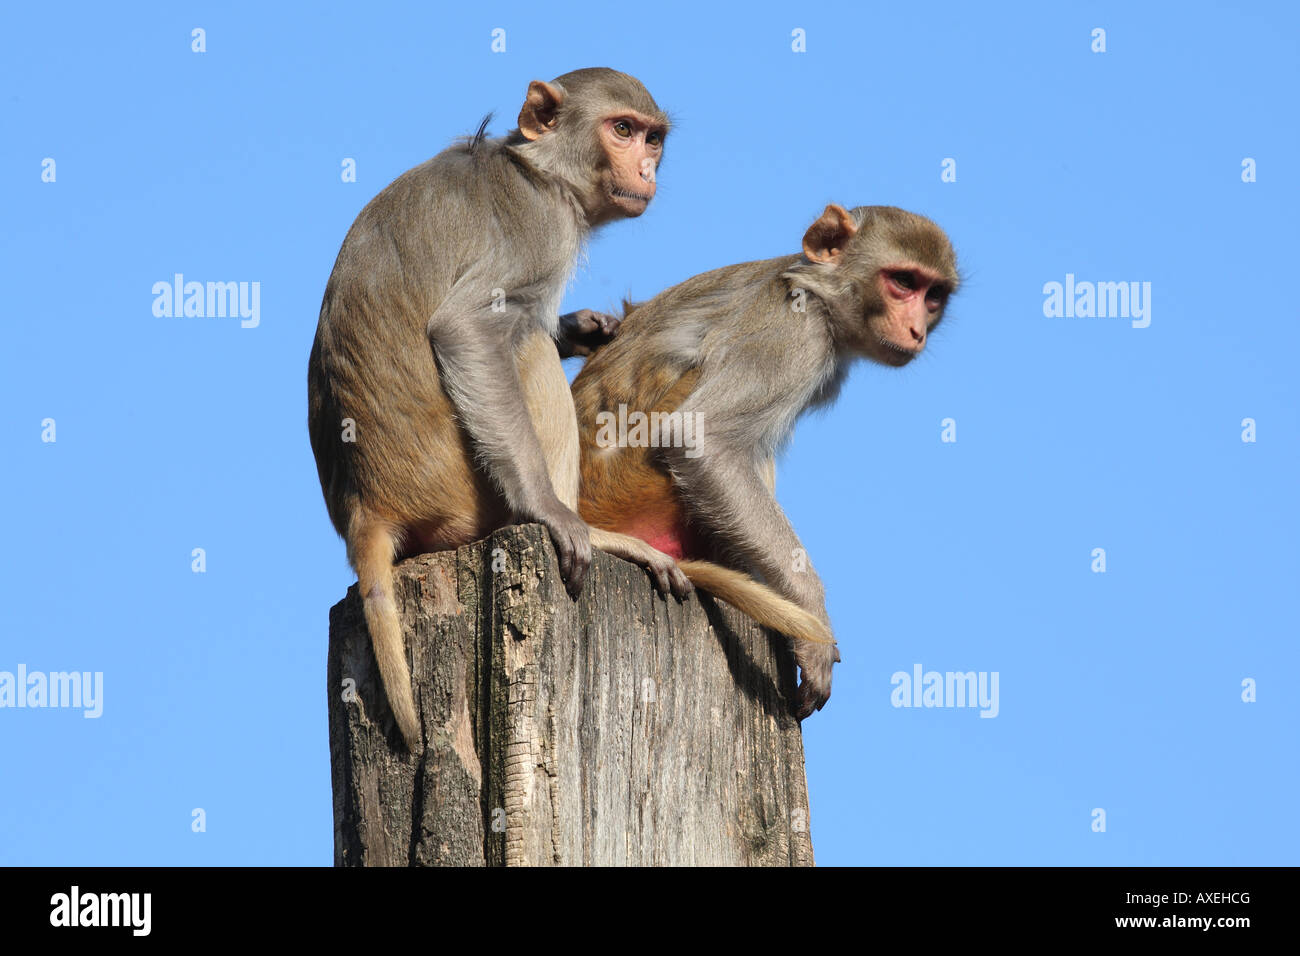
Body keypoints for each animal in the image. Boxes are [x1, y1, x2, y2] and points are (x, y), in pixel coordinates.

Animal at [308, 69, 693, 751]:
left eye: (653, 138)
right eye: (622, 129)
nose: (646, 169)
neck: (538, 168)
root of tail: (366, 509)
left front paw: (586, 328)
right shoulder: (537, 229)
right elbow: (467, 329)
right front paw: (550, 511)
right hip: (462, 492)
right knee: (523, 342)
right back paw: (591, 529)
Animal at [571, 204, 959, 718]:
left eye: (933, 295)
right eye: (902, 281)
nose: (916, 331)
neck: (821, 292)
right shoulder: (794, 335)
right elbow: (701, 437)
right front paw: (814, 623)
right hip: (626, 486)